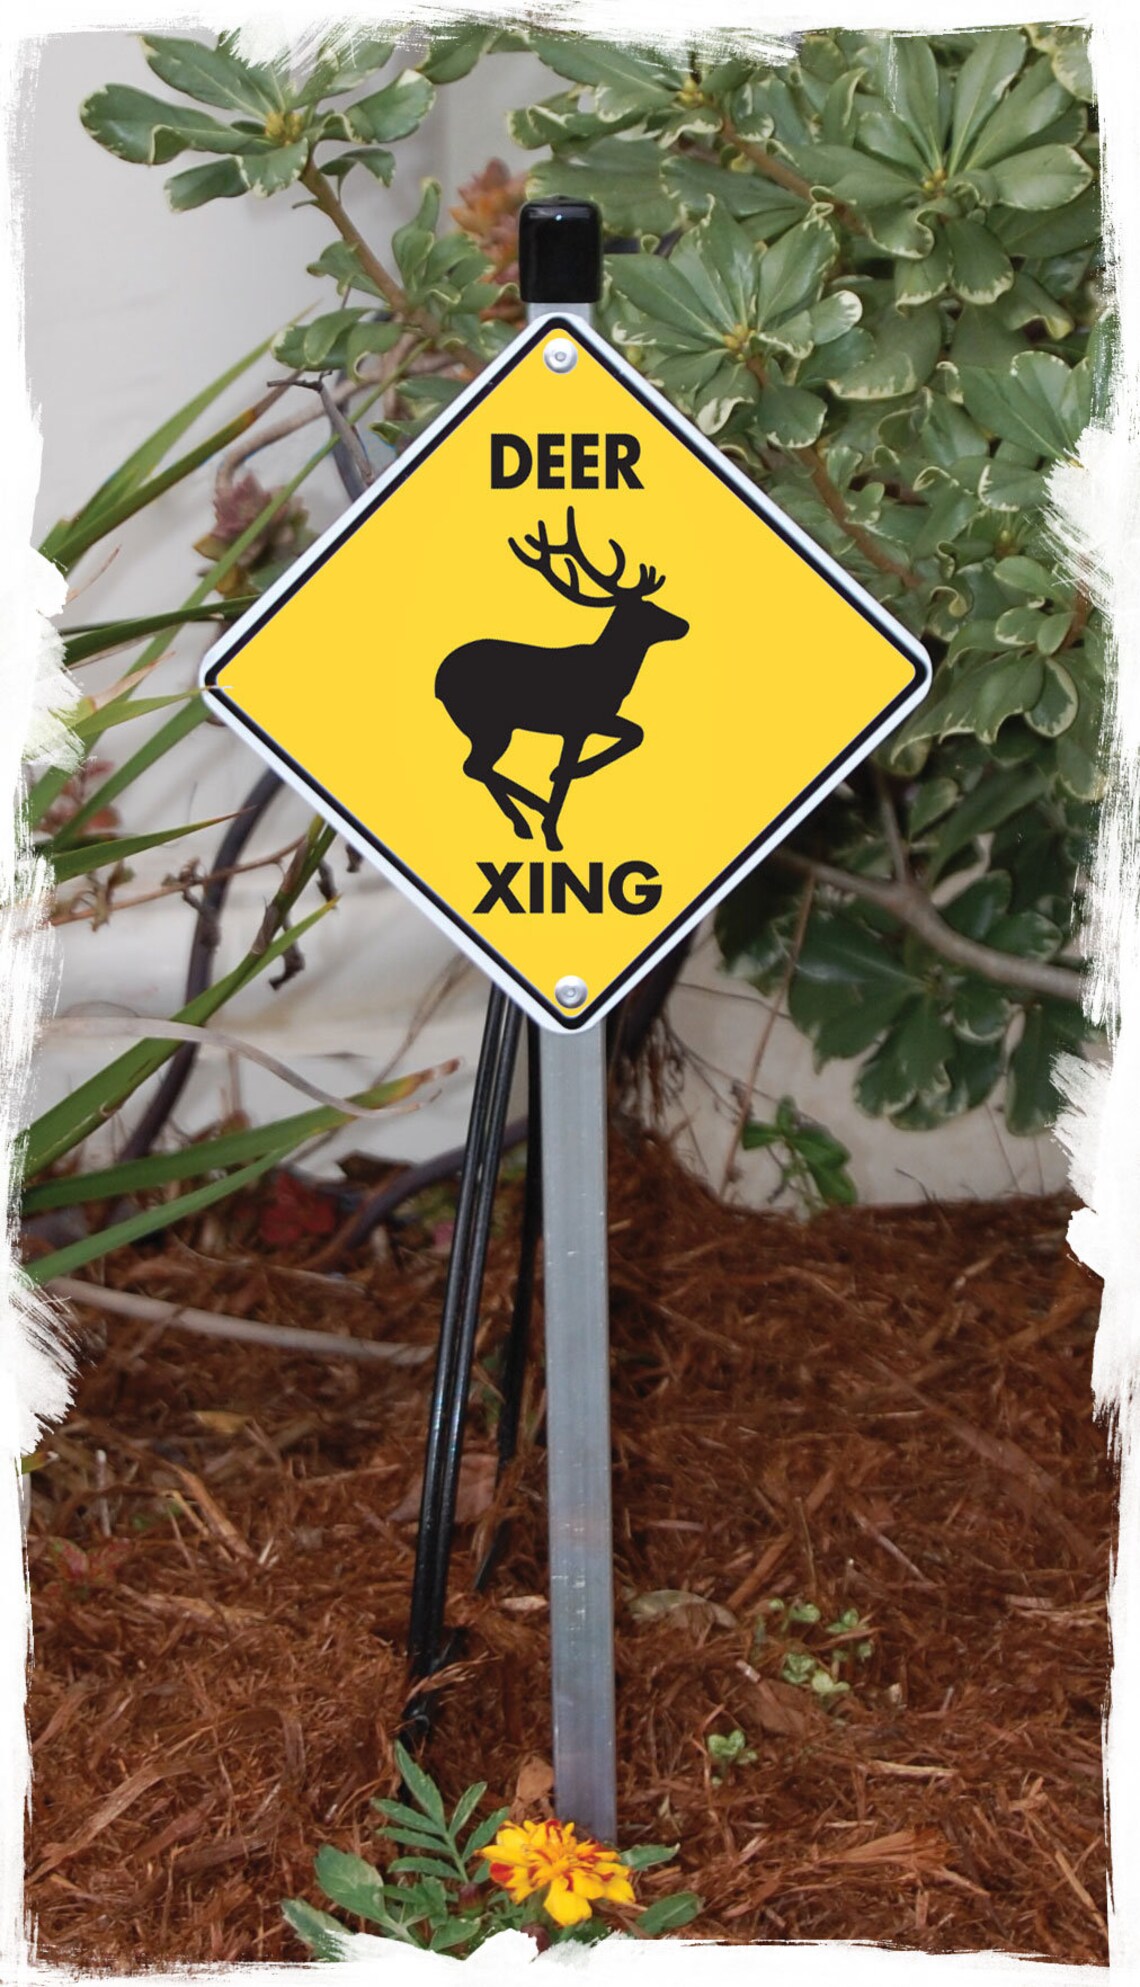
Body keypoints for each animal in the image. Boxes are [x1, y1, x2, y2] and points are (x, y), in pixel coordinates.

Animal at [435, 506, 689, 854]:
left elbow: (635, 733)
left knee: (477, 767)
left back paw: (523, 823)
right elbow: (592, 759)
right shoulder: (579, 723)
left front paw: (557, 797)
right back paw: (534, 811)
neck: (610, 671)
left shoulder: (594, 721)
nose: (684, 624)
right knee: (474, 766)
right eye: (649, 607)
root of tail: (438, 681)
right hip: (489, 723)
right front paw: (553, 828)